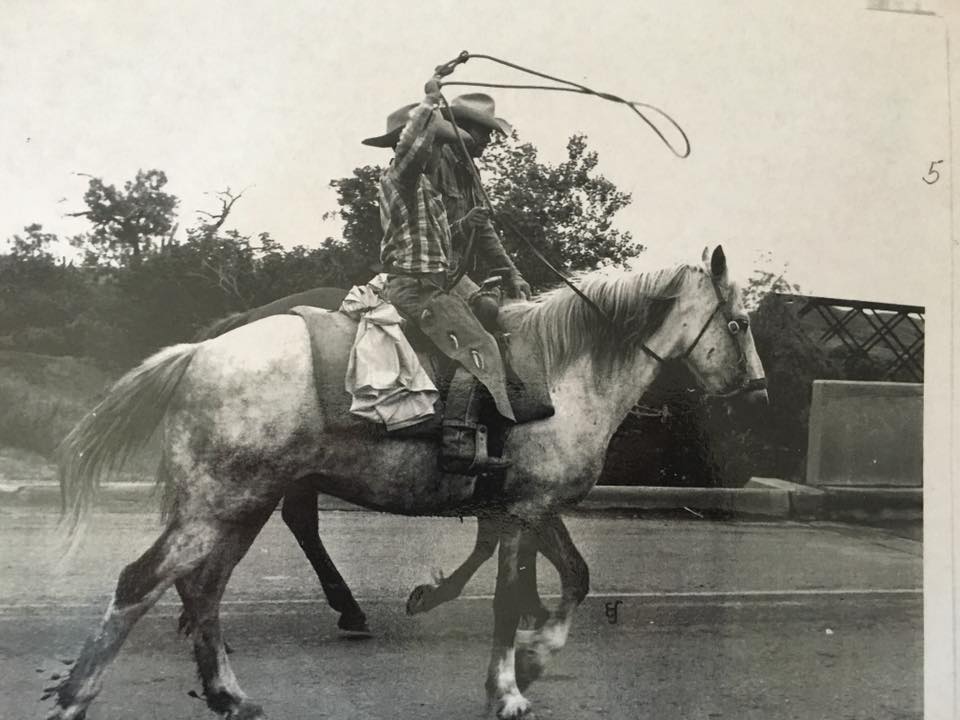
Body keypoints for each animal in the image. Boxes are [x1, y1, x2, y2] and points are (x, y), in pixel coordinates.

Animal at [49, 246, 766, 720]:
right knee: (142, 581)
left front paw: (534, 656)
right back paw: (78, 696)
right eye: (738, 323)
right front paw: (508, 686)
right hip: (220, 502)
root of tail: (199, 352)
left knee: (204, 586)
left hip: (238, 504)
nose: (757, 392)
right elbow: (510, 596)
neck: (565, 371)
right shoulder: (523, 509)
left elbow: (574, 577)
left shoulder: (527, 507)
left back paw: (229, 693)